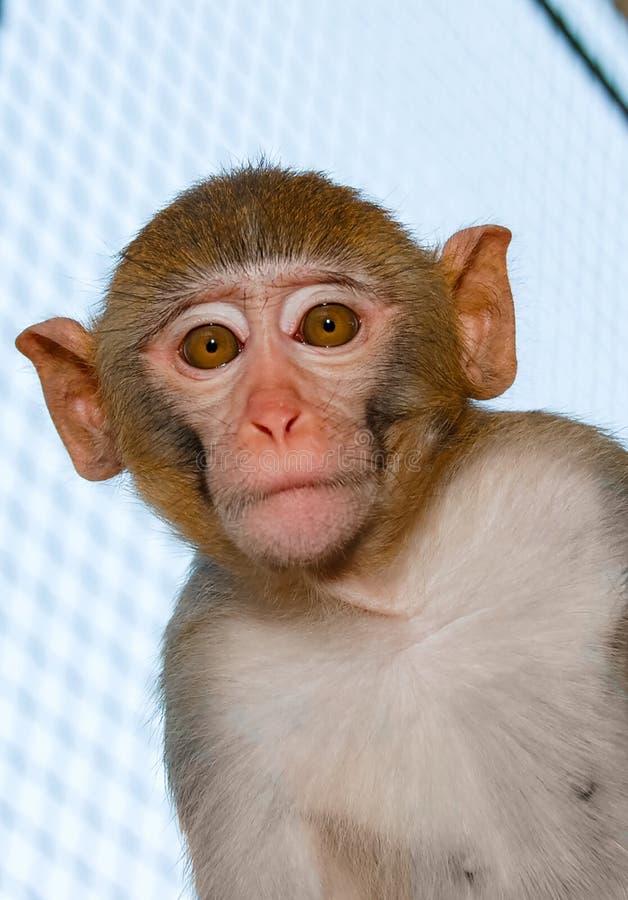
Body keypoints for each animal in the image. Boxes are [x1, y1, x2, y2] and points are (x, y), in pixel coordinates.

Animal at [16, 163, 628, 899]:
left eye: (327, 325)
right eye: (211, 346)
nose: (276, 418)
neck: (387, 598)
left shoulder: (569, 480)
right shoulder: (211, 674)